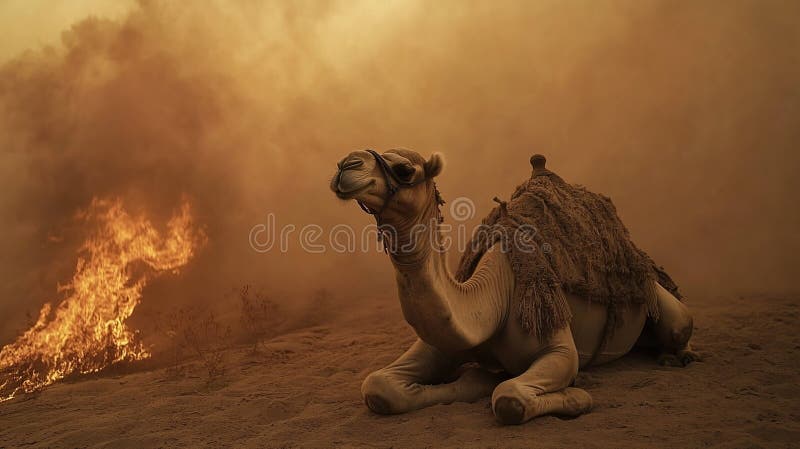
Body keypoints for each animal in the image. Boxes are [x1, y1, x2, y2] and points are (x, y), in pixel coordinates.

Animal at [329, 148, 699, 425]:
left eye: (404, 170)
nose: (346, 164)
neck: (493, 299)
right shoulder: (442, 342)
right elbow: (378, 387)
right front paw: (476, 378)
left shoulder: (557, 345)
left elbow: (510, 397)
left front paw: (577, 395)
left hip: (663, 302)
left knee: (679, 325)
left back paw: (677, 357)